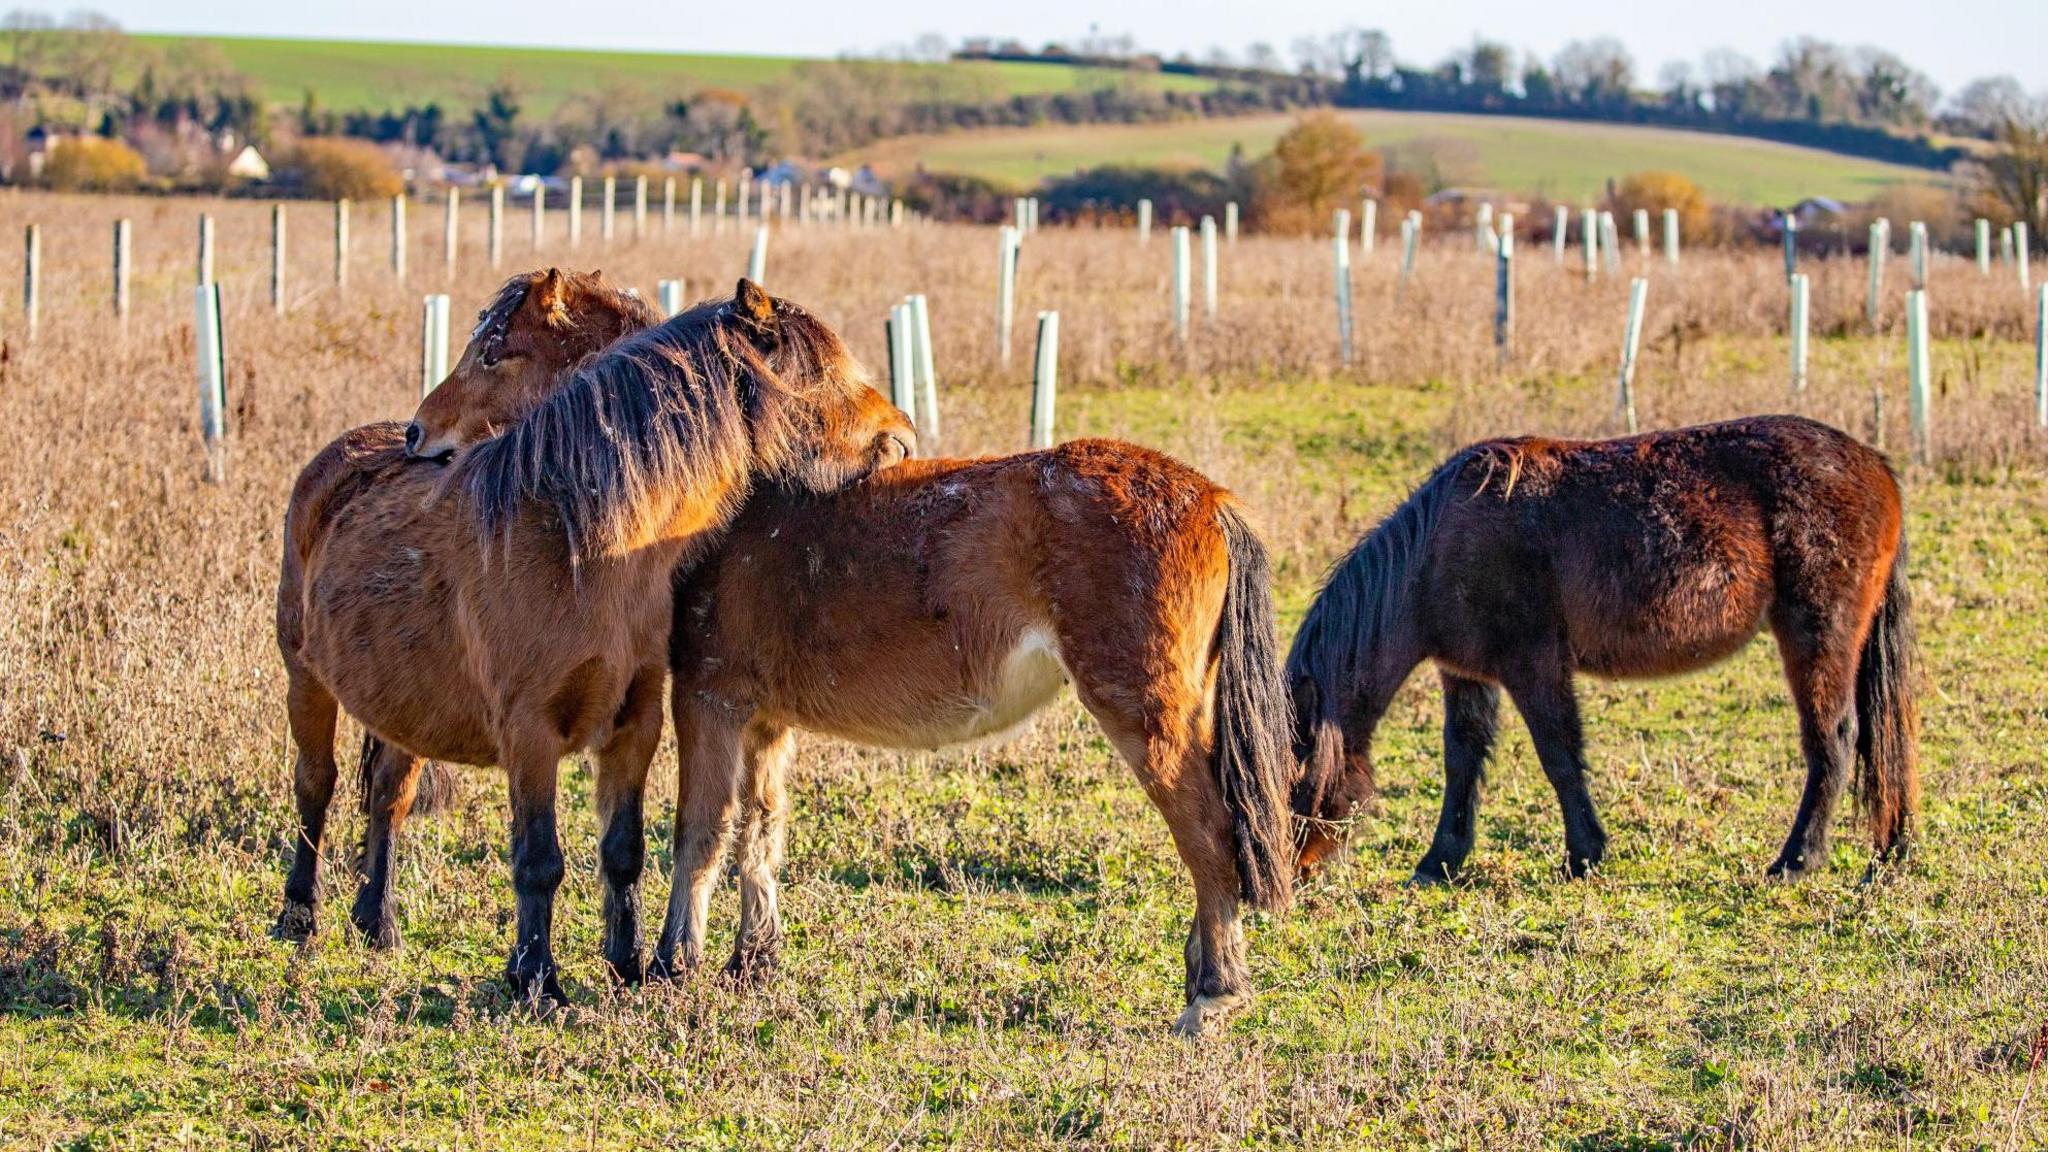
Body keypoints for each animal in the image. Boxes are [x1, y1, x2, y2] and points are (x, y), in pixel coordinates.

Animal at [274, 273, 914, 1003]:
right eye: (823, 372)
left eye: (494, 351)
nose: (901, 433)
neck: (580, 541)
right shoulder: (529, 733)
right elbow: (538, 860)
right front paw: (536, 980)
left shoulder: (636, 723)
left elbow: (623, 850)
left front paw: (626, 963)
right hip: (305, 680)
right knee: (315, 784)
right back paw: (300, 915)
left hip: (405, 707)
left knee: (388, 795)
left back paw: (377, 922)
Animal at [403, 279, 1297, 1037]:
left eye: (495, 352)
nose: (418, 434)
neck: (728, 497)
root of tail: (1211, 499)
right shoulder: (766, 721)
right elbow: (762, 829)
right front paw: (751, 962)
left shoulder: (708, 702)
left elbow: (701, 831)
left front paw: (672, 964)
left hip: (1146, 719)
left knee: (1210, 834)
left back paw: (1209, 997)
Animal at [1285, 416, 1919, 885]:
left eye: (1294, 777)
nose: (1294, 874)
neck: (1438, 553)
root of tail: (1876, 466)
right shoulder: (1465, 673)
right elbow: (1462, 759)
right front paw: (1439, 863)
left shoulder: (1534, 665)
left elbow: (1559, 755)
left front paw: (1583, 856)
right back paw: (1887, 850)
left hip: (1816, 633)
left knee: (1833, 738)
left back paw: (1795, 862)